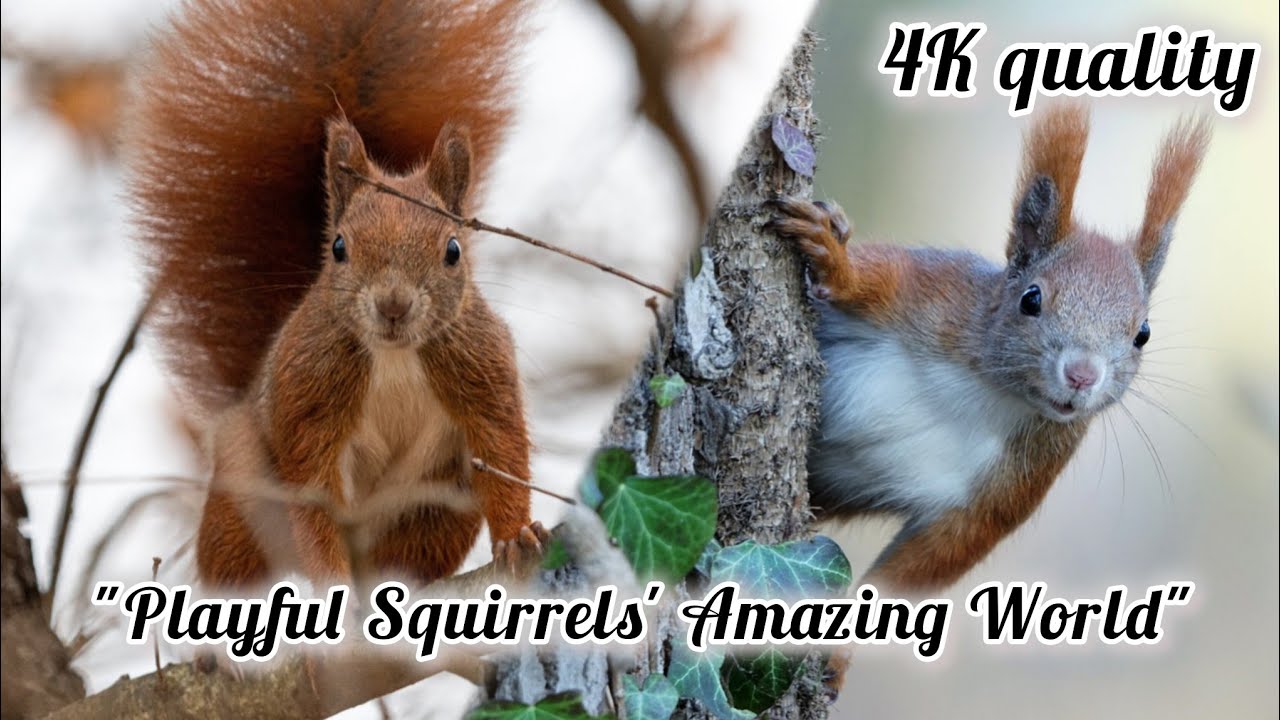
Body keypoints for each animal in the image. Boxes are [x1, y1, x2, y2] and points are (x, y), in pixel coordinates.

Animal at [128, 0, 546, 587]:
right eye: (339, 246)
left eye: (453, 250)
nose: (393, 305)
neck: (394, 357)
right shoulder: (309, 397)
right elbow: (314, 496)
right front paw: (334, 585)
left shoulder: (481, 369)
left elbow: (502, 448)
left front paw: (517, 537)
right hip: (240, 503)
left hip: (439, 507)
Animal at [770, 105, 1210, 594]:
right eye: (1031, 299)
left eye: (1142, 334)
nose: (1082, 375)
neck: (989, 390)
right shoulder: (933, 292)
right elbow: (872, 280)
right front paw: (835, 260)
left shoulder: (1017, 483)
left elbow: (934, 559)